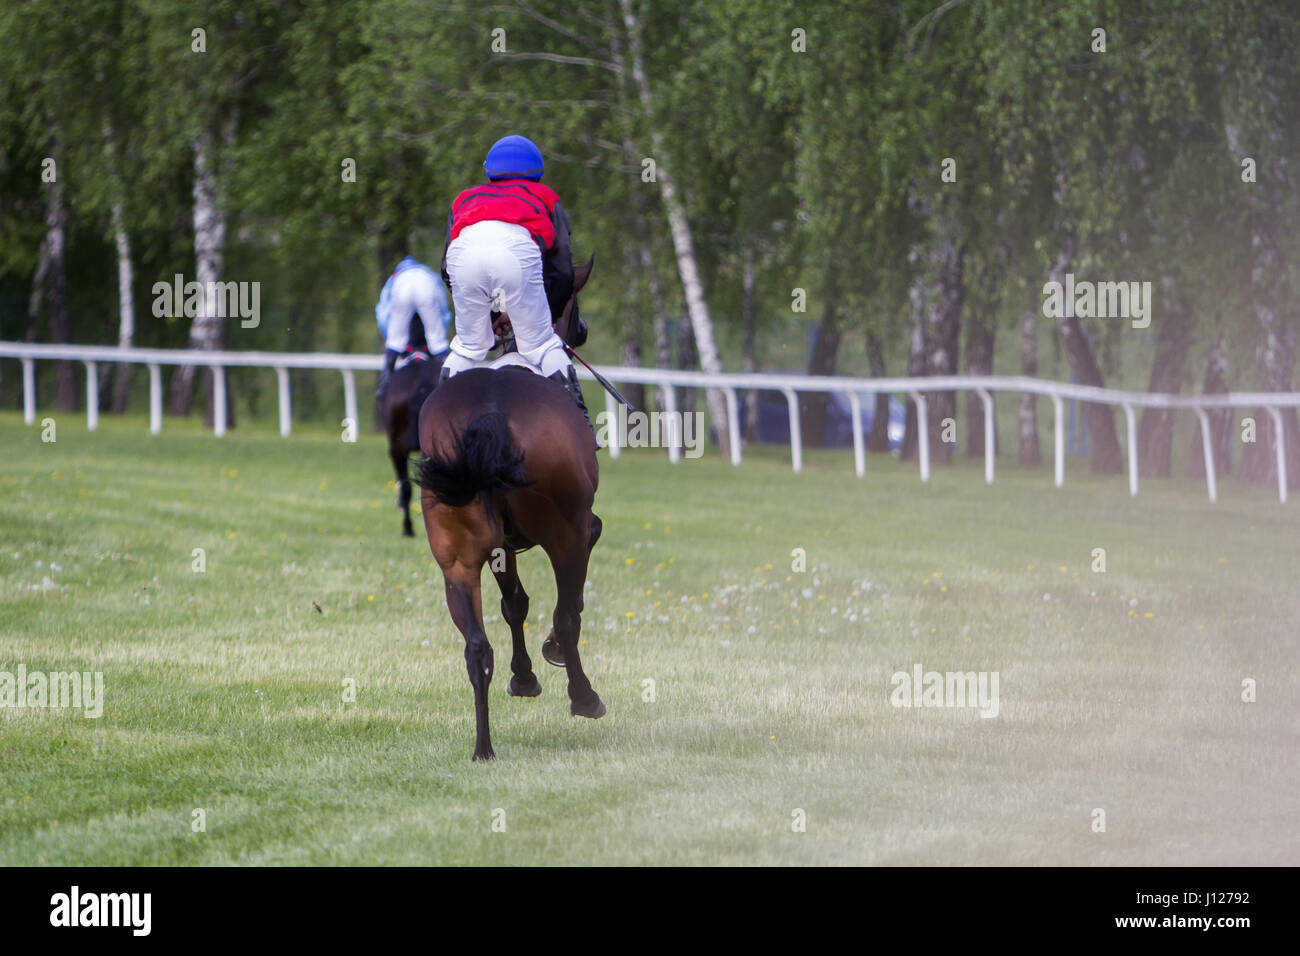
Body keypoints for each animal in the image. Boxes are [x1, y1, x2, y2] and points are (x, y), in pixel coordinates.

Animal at [415, 257, 601, 761]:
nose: (582, 330)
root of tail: (492, 412)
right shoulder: (582, 526)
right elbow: (565, 600)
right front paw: (548, 657)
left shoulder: (499, 546)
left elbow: (514, 602)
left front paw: (523, 676)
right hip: (563, 531)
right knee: (566, 615)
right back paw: (584, 697)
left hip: (456, 556)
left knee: (476, 648)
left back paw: (484, 748)